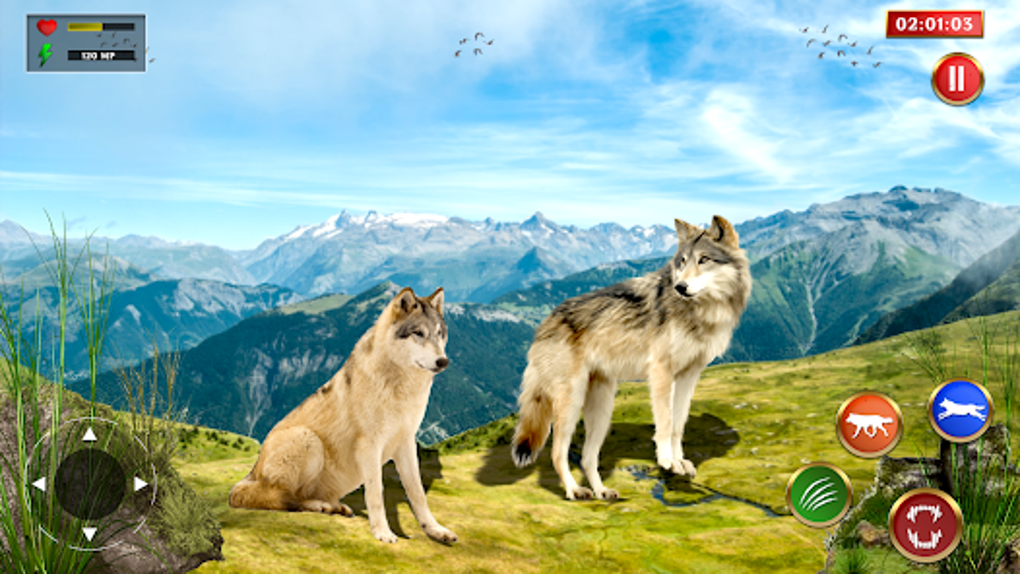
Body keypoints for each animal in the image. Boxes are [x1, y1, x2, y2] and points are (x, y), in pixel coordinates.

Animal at [229, 286, 458, 544]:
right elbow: (376, 493)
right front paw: (383, 533)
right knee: (280, 498)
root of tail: (251, 472)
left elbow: (418, 493)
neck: (400, 389)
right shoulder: (370, 446)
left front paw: (435, 530)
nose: (443, 361)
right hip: (308, 440)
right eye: (418, 333)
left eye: (439, 334)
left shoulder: (406, 444)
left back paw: (334, 507)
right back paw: (322, 507)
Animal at [511, 216, 752, 501]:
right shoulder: (661, 371)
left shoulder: (689, 376)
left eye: (704, 259)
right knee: (557, 452)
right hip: (570, 402)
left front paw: (680, 462)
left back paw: (602, 491)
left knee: (587, 458)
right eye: (682, 262)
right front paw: (667, 461)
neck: (701, 310)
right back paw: (574, 491)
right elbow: (665, 421)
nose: (680, 286)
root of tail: (545, 322)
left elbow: (678, 424)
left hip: (602, 410)